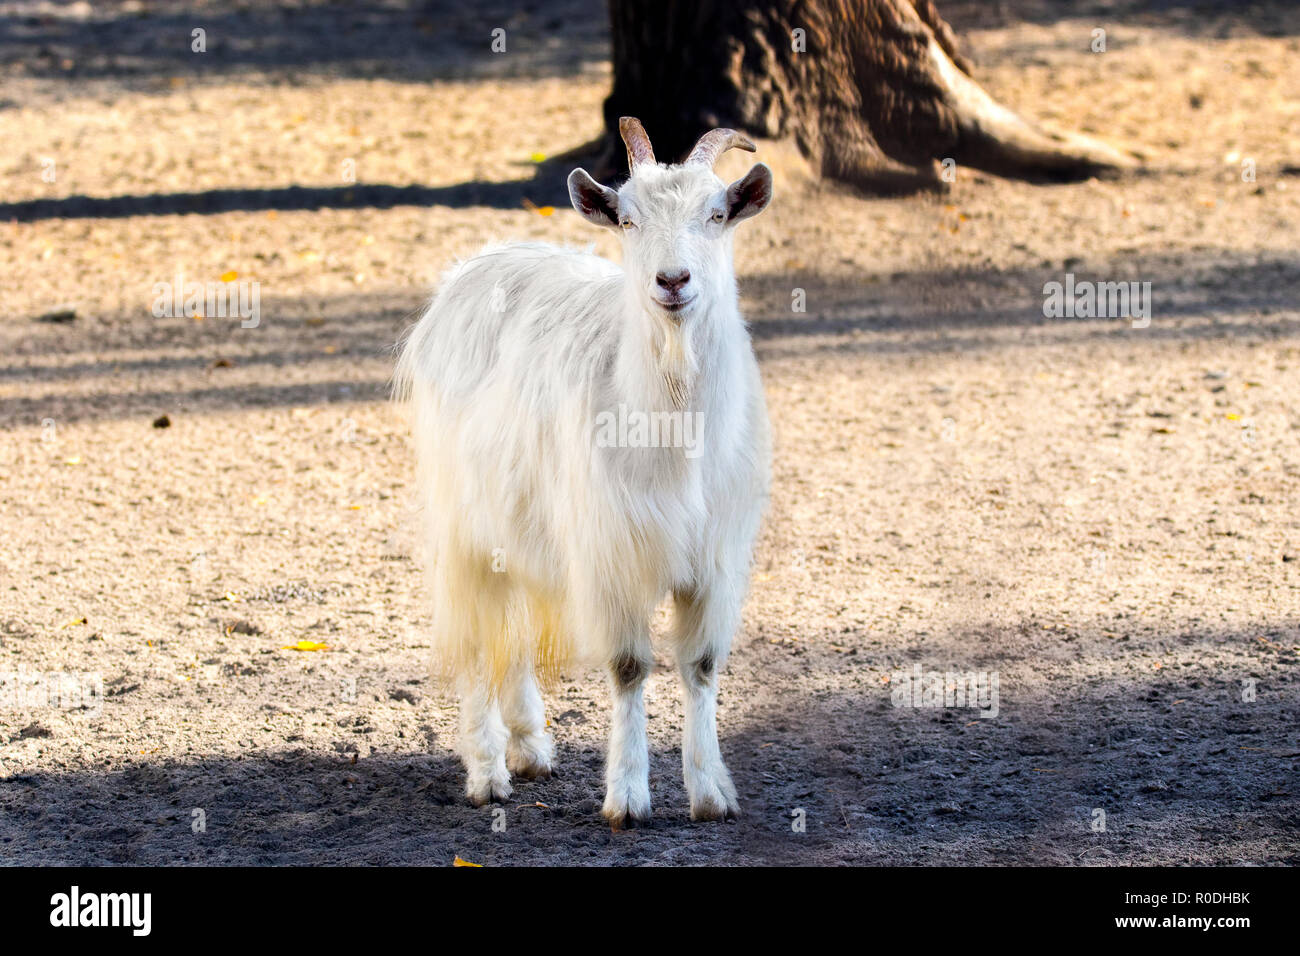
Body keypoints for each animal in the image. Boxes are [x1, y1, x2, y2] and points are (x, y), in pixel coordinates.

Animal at [394, 118, 772, 826]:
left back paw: (530, 747)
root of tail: (475, 267)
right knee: (476, 638)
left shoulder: (715, 558)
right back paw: (488, 772)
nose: (673, 280)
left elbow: (702, 665)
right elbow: (628, 667)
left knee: (510, 632)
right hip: (463, 524)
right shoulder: (611, 551)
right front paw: (626, 797)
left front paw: (712, 793)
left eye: (716, 214)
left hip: (519, 524)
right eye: (626, 219)